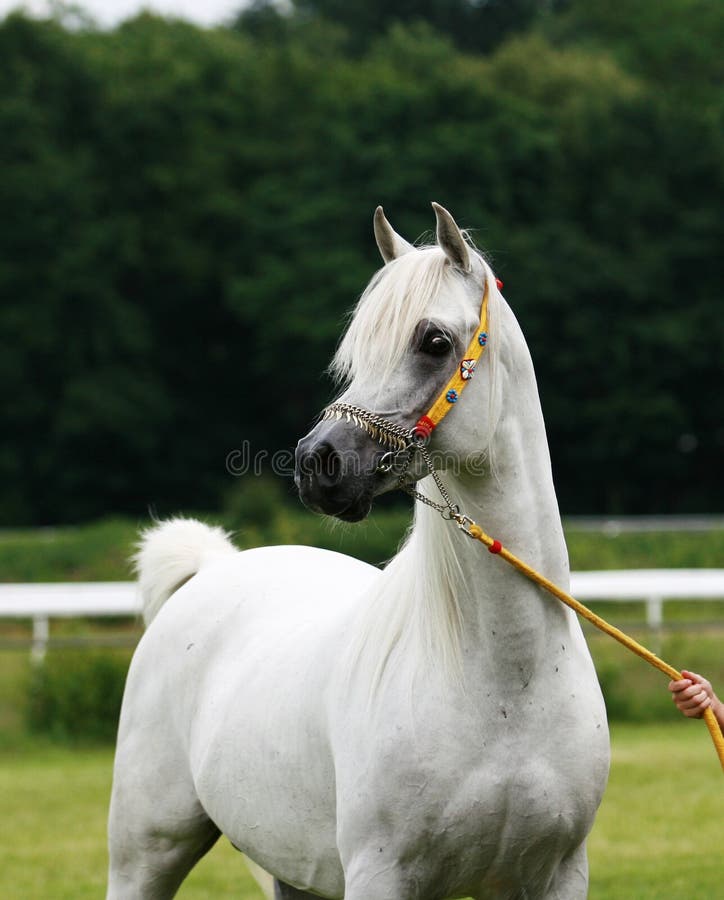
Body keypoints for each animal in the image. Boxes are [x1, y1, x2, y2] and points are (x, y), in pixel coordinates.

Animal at [107, 203, 610, 899]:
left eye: (434, 341)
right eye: (359, 349)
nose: (317, 463)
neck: (509, 685)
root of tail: (212, 571)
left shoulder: (558, 874)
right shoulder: (382, 874)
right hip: (145, 855)